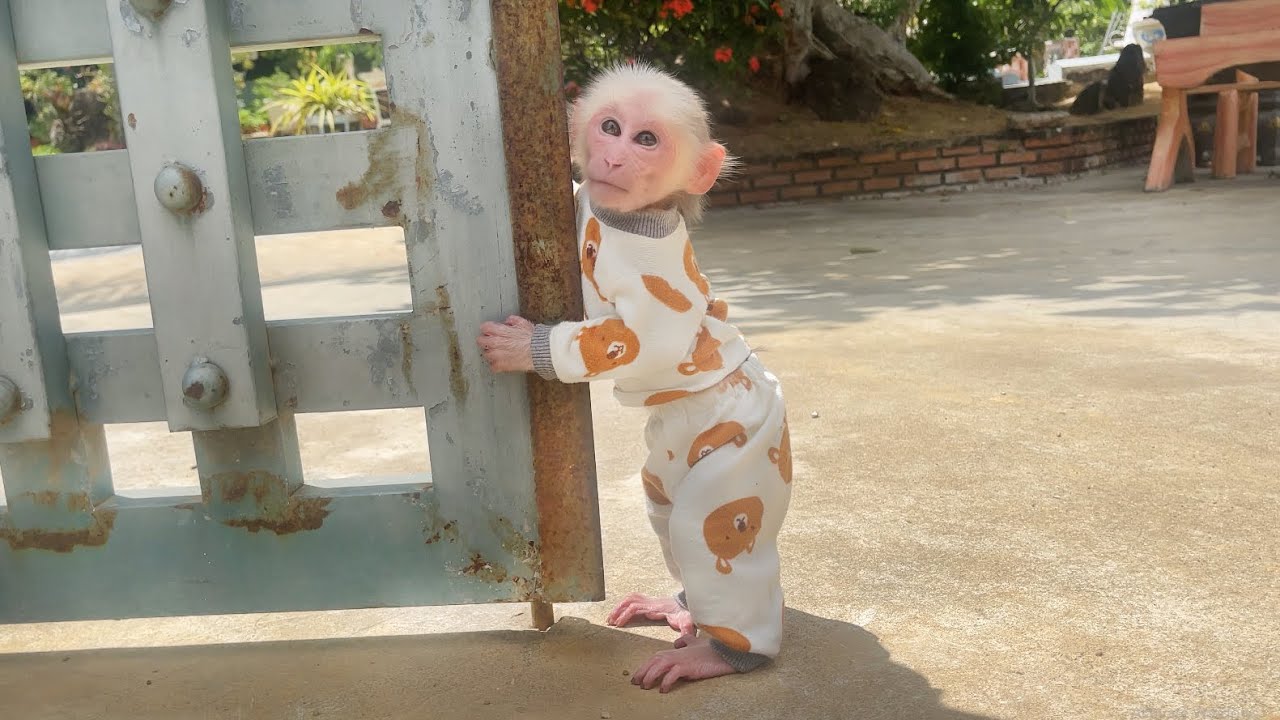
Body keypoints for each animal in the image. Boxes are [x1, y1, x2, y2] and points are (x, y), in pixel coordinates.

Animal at [477, 62, 792, 693]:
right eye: (610, 126)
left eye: (646, 139)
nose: (614, 156)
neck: (621, 219)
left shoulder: (650, 275)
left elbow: (641, 338)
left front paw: (526, 348)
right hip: (662, 477)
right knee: (667, 519)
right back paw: (680, 610)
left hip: (744, 461)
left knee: (706, 541)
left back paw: (720, 654)